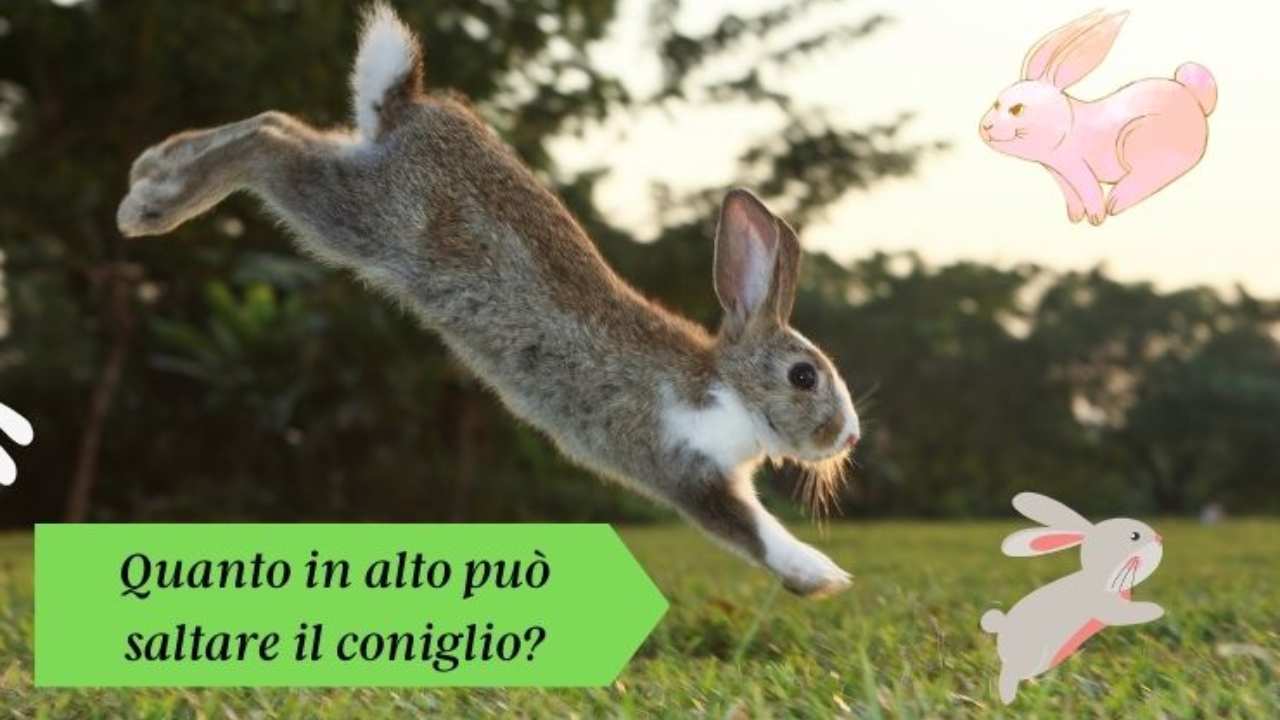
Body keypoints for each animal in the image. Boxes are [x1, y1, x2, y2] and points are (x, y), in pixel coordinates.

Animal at [115, 3, 861, 597]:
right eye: (804, 376)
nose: (848, 436)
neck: (725, 384)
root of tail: (410, 106)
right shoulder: (685, 469)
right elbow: (752, 531)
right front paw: (823, 577)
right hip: (358, 217)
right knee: (268, 143)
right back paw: (149, 206)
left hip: (354, 176)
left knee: (281, 124)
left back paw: (153, 167)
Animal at [979, 10, 1216, 225]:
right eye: (996, 104)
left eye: (1017, 109)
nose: (984, 127)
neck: (1067, 124)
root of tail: (1195, 99)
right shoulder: (1059, 173)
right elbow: (1072, 196)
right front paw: (1075, 218)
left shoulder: (1078, 168)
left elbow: (1090, 191)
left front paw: (1096, 218)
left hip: (1138, 139)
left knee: (1161, 172)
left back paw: (1116, 202)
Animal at [979, 492, 1165, 704]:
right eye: (1134, 535)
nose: (1160, 538)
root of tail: (1001, 625)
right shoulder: (1107, 608)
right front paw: (1155, 609)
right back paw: (1009, 698)